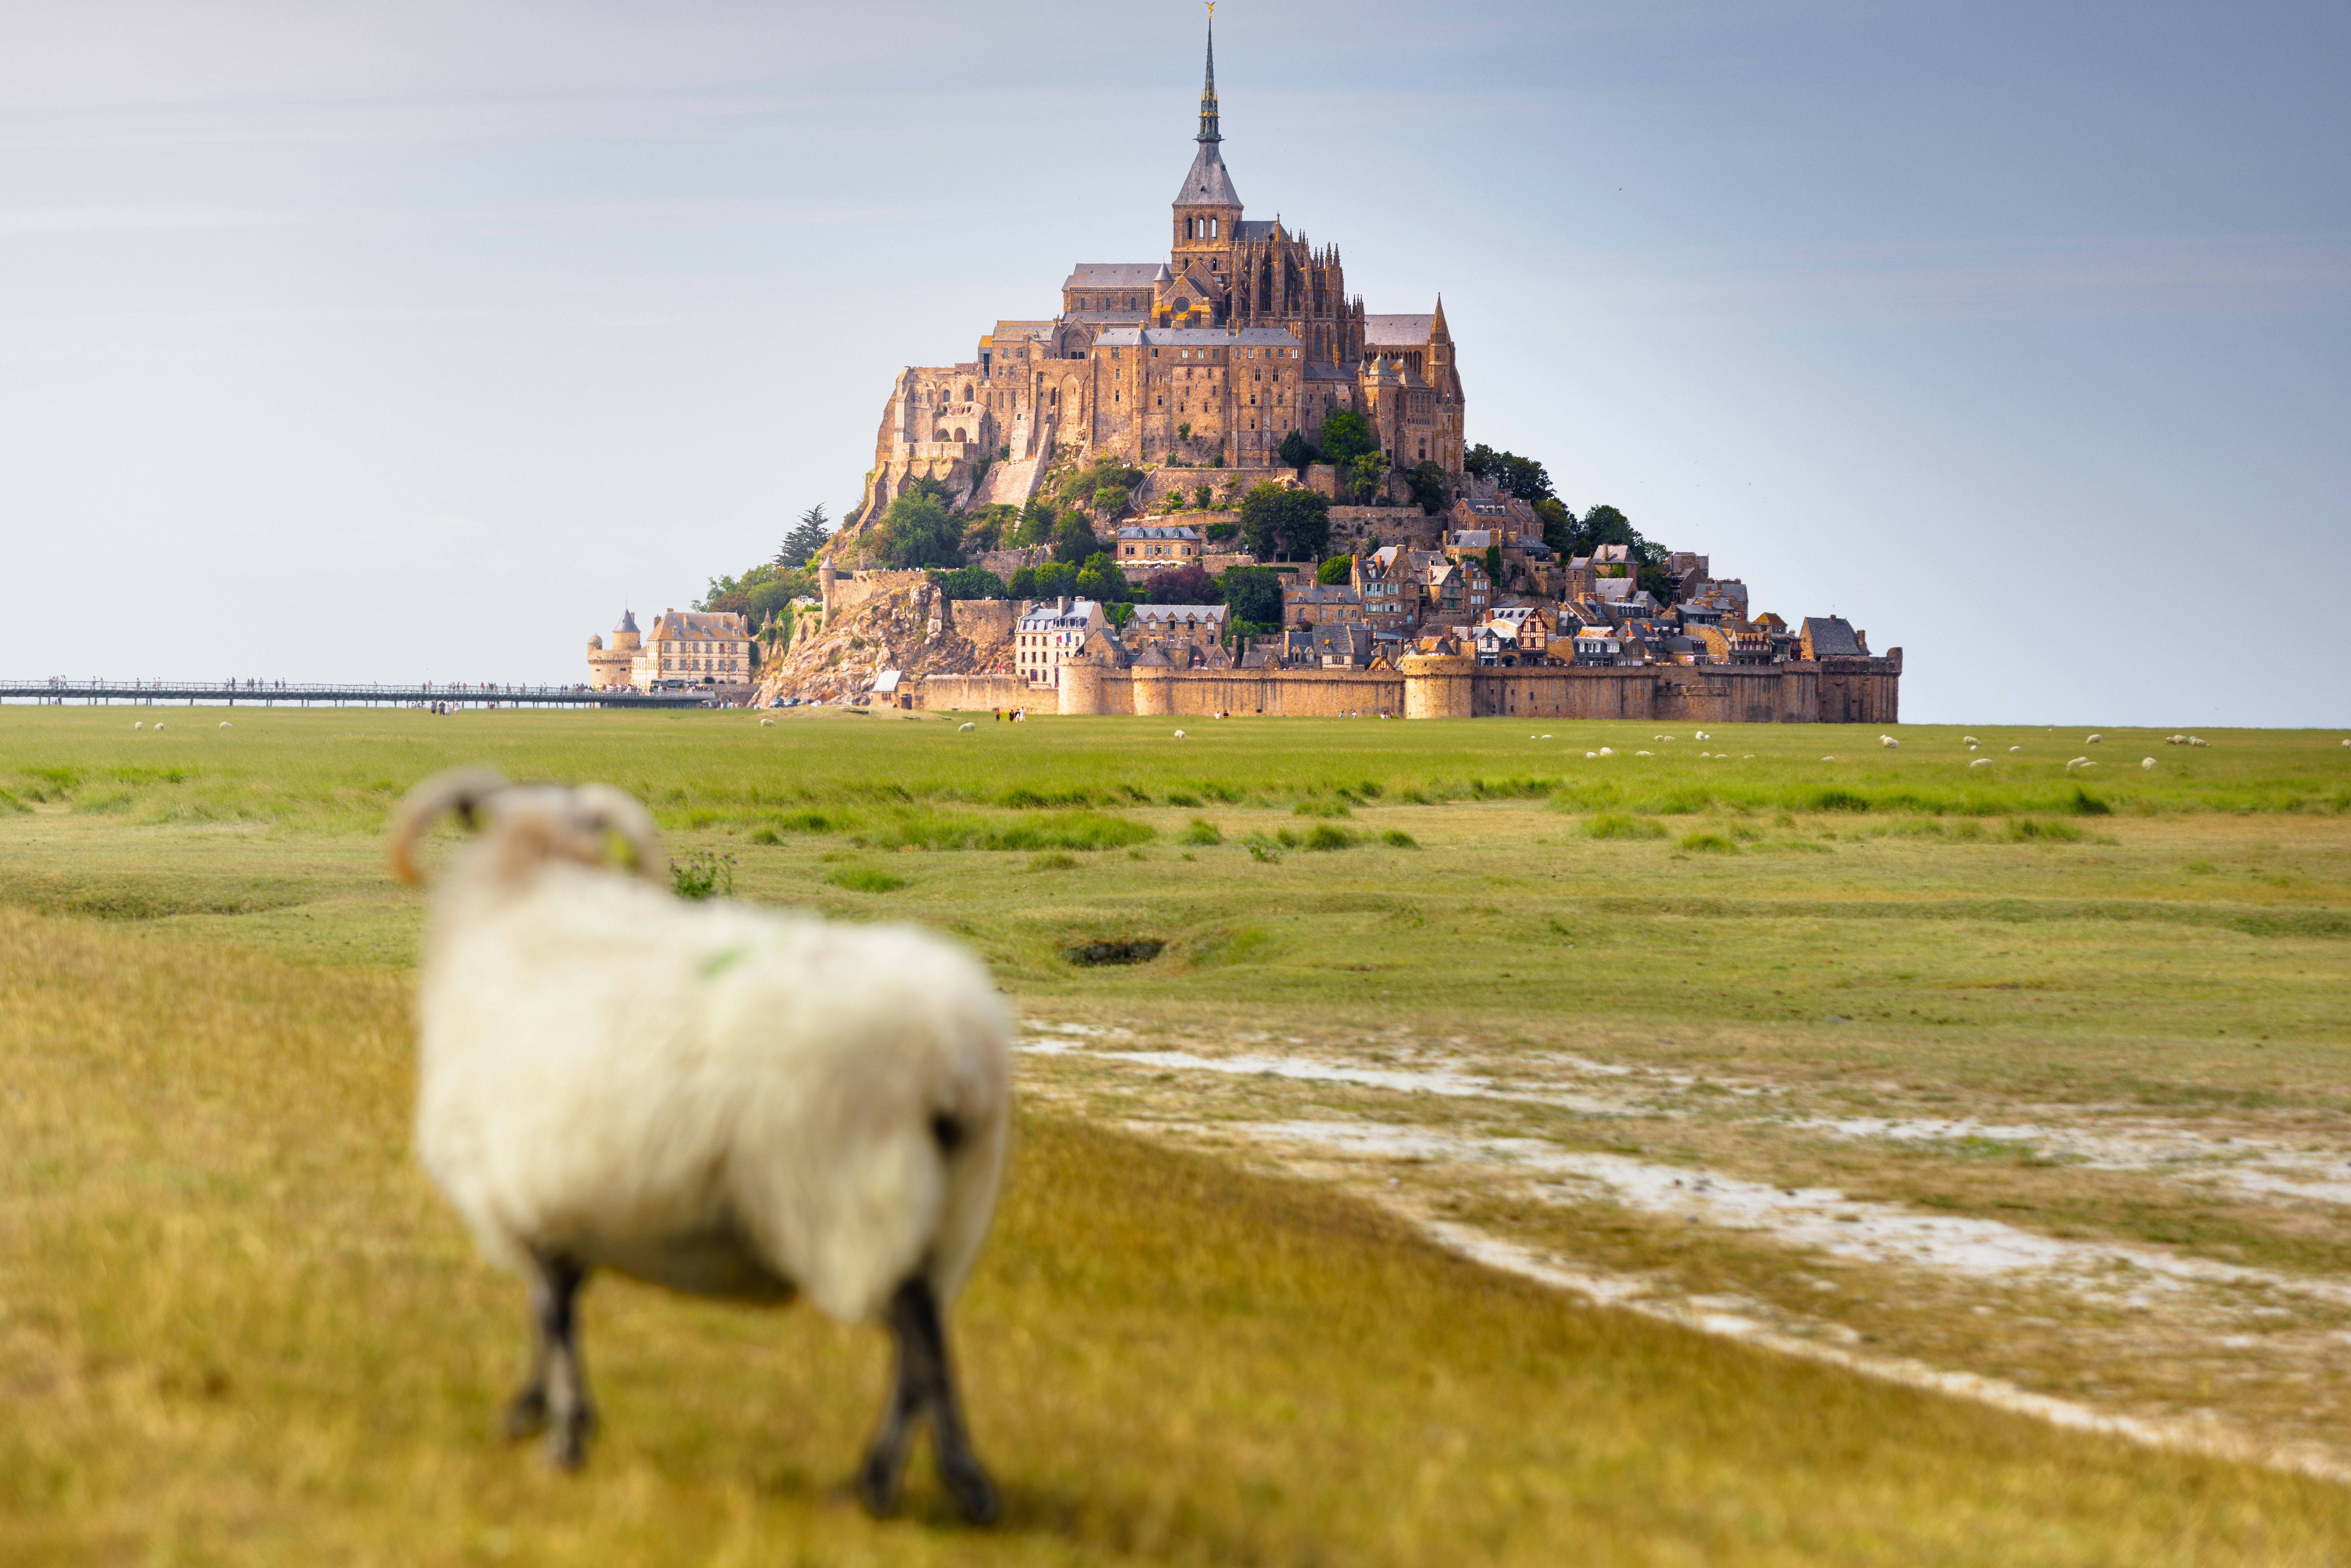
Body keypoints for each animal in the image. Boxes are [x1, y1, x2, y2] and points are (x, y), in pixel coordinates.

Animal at [387, 769, 1011, 1523]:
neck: (529, 881)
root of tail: (953, 1055)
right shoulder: (559, 1204)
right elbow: (552, 1308)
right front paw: (535, 1411)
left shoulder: (519, 1187)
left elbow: (553, 1313)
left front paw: (562, 1434)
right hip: (948, 1207)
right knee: (928, 1334)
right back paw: (932, 1481)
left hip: (849, 1198)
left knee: (916, 1336)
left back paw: (898, 1481)